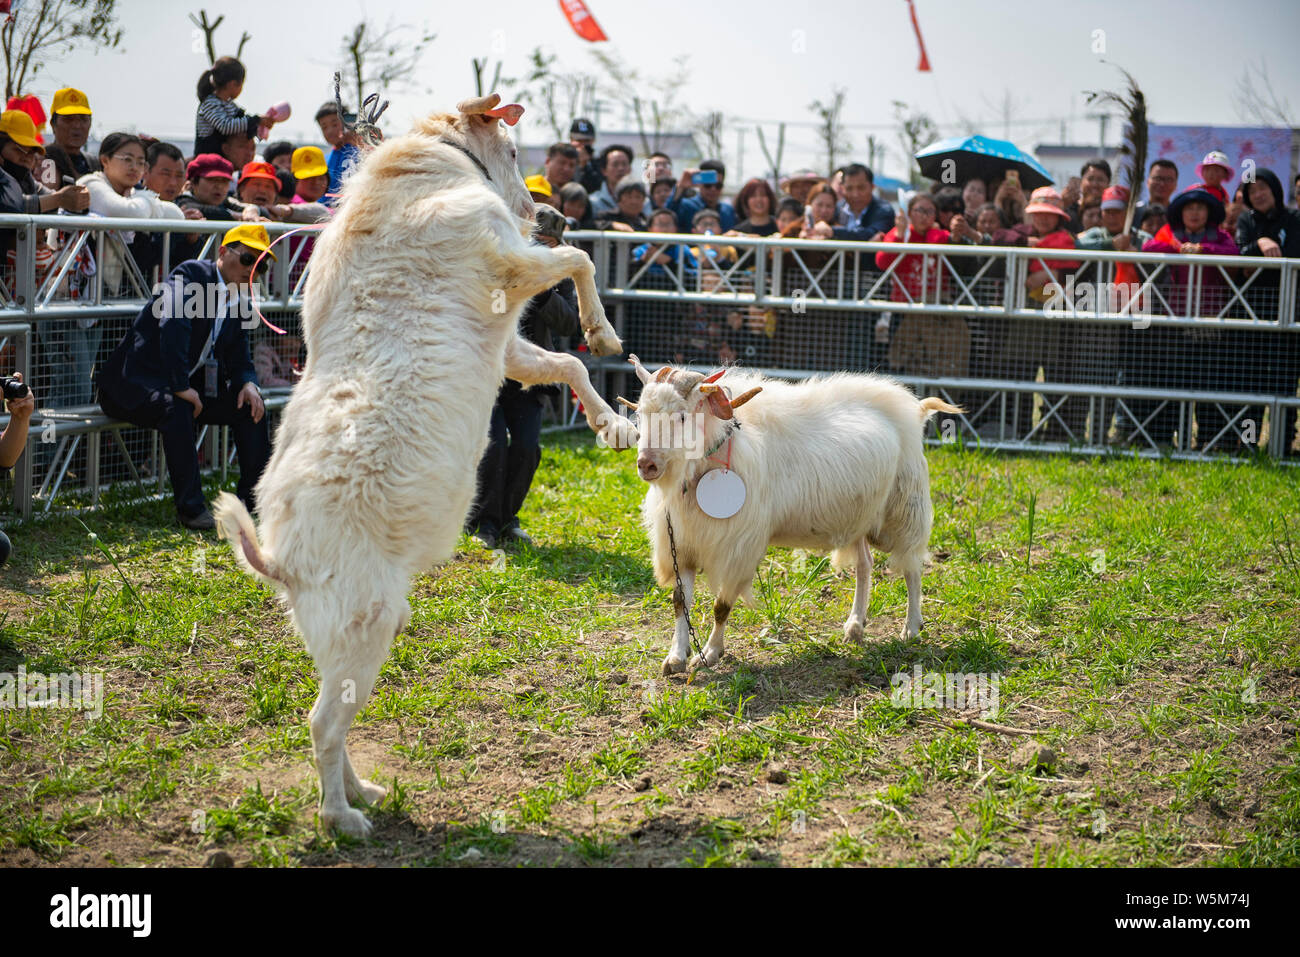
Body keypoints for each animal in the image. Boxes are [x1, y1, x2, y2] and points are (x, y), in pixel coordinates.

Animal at [214, 94, 632, 837]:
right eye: (516, 152)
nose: (543, 211)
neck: (429, 168)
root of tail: (278, 557)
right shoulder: (506, 261)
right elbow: (578, 259)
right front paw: (605, 331)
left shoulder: (506, 341)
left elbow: (565, 363)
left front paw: (616, 423)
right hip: (365, 620)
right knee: (321, 722)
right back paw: (342, 818)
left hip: (339, 633)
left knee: (335, 715)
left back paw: (365, 790)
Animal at [624, 356, 960, 675]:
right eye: (641, 415)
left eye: (681, 416)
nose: (647, 464)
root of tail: (912, 408)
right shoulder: (681, 544)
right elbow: (680, 602)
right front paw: (676, 656)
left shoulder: (738, 549)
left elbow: (722, 606)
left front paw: (709, 654)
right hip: (860, 515)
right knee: (865, 564)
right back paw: (854, 626)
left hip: (904, 509)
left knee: (911, 567)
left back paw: (911, 628)